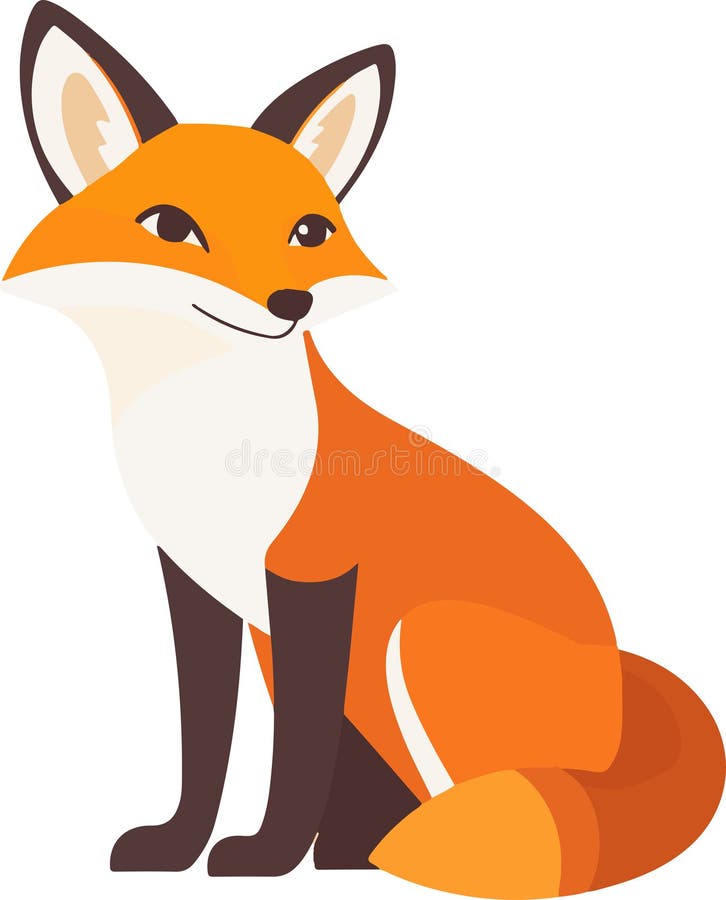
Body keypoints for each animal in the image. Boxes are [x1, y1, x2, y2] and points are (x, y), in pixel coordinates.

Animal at [3, 3, 724, 898]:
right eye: (172, 228)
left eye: (310, 231)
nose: (291, 300)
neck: (208, 439)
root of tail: (621, 702)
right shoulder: (200, 588)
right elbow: (210, 745)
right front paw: (187, 847)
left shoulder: (315, 579)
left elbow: (299, 756)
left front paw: (271, 856)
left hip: (415, 639)